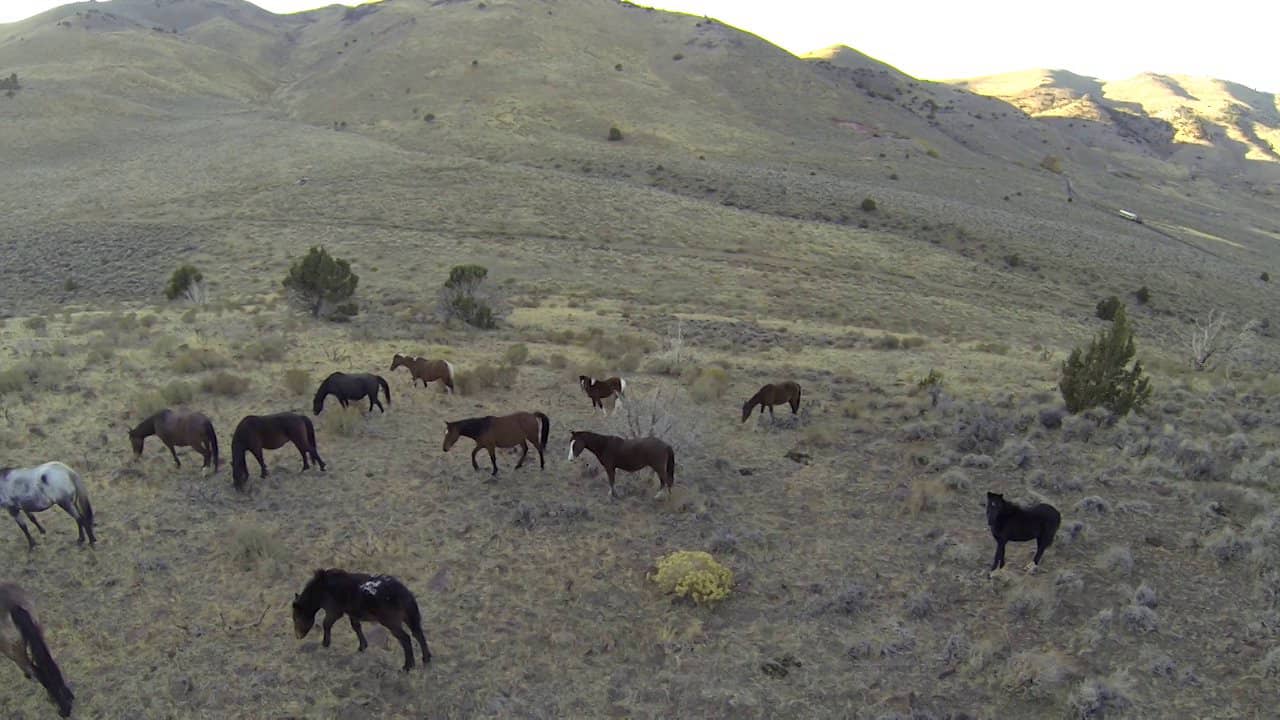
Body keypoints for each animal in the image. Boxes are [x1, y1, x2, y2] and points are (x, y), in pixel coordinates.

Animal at [0, 583, 74, 717]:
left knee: (36, 670)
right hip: (37, 632)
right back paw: (66, 697)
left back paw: (62, 707)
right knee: (47, 663)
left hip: (12, 650)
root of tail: (13, 606)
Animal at [292, 568, 431, 672]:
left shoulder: (335, 611)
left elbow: (326, 624)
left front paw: (325, 643)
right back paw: (426, 659)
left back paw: (407, 666)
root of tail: (405, 594)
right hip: (410, 617)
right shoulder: (352, 613)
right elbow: (356, 626)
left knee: (405, 638)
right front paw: (362, 646)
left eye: (296, 618)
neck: (322, 589)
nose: (298, 636)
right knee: (418, 634)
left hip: (392, 622)